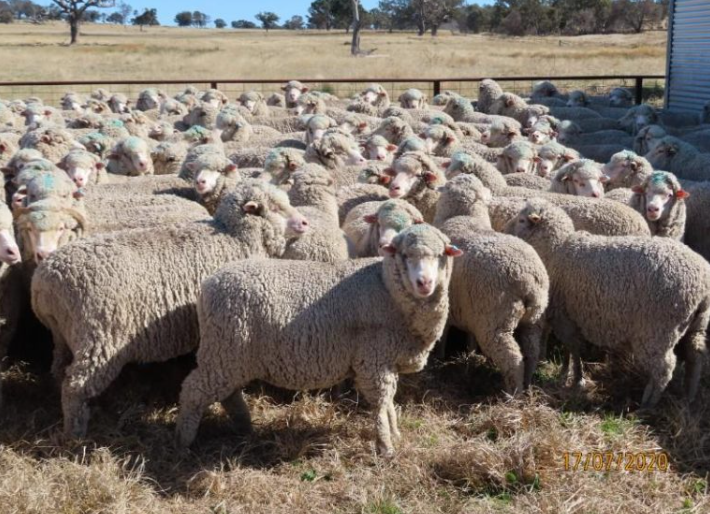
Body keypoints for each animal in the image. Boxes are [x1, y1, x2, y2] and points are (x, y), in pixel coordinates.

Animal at [31, 179, 309, 438]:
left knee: (59, 370)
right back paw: (75, 433)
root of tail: (46, 280)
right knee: (75, 386)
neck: (235, 237)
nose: (305, 223)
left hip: (63, 335)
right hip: (98, 338)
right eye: (274, 207)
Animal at [174, 223, 461, 455]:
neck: (386, 286)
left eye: (440, 255)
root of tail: (207, 286)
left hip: (230, 354)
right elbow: (381, 402)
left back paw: (244, 425)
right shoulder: (374, 359)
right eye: (404, 255)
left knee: (228, 393)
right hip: (223, 349)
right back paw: (183, 442)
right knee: (193, 391)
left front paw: (395, 433)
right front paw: (385, 447)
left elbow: (389, 401)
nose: (424, 283)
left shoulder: (386, 359)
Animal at [434, 175, 549, 392]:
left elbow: (442, 333)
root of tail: (529, 280)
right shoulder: (467, 307)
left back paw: (513, 393)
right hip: (534, 319)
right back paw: (527, 383)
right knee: (532, 351)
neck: (464, 216)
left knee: (512, 358)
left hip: (495, 322)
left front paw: (439, 356)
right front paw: (469, 352)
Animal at [506, 198, 710, 406]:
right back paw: (689, 395)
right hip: (697, 325)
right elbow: (570, 350)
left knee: (664, 370)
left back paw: (648, 403)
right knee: (696, 355)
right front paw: (567, 374)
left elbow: (573, 348)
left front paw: (575, 378)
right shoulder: (570, 317)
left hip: (658, 330)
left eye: (521, 220)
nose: (505, 230)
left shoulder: (564, 317)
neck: (556, 249)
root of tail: (703, 284)